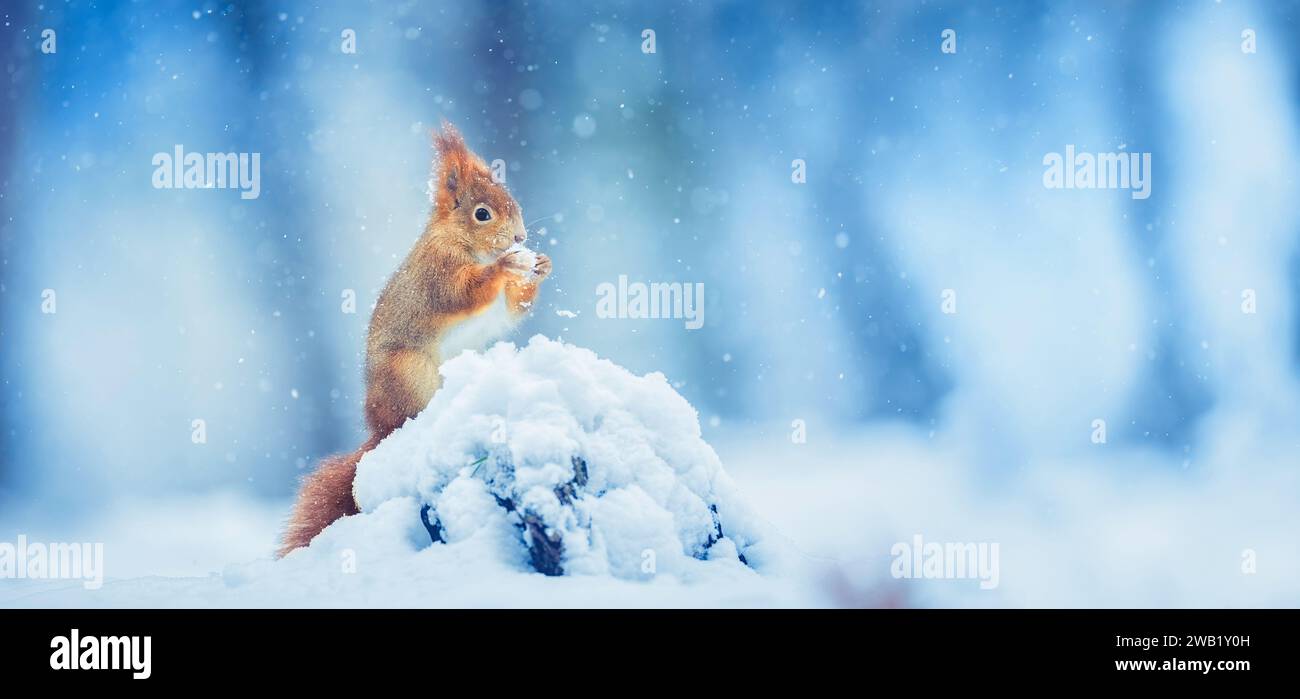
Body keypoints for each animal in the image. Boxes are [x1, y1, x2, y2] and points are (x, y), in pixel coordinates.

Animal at [278, 122, 550, 557]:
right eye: (482, 214)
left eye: (513, 201)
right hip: (408, 372)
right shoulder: (438, 275)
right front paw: (507, 266)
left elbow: (511, 309)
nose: (520, 237)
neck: (462, 244)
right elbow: (465, 293)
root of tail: (377, 428)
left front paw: (540, 266)